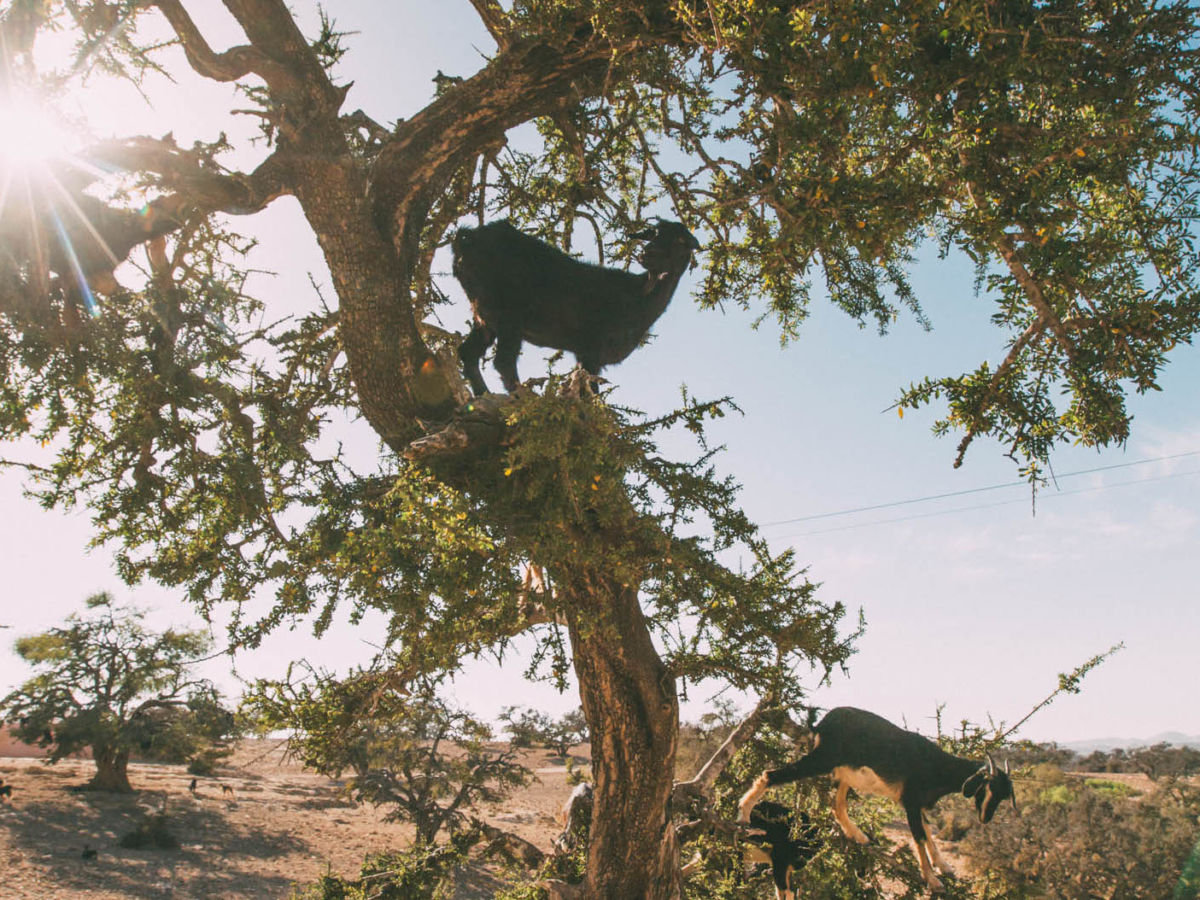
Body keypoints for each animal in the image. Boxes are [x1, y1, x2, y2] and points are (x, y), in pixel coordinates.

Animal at [453, 219, 700, 395]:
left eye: (681, 241)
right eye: (654, 234)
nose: (647, 254)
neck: (638, 297)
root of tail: (467, 241)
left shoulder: (587, 353)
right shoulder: (591, 348)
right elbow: (590, 392)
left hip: (484, 314)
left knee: (468, 352)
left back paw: (483, 394)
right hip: (508, 313)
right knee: (503, 360)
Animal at [737, 707, 1016, 892]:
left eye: (1004, 795)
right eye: (989, 788)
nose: (985, 818)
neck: (935, 764)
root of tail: (822, 725)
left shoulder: (915, 804)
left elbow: (928, 833)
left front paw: (944, 867)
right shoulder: (910, 802)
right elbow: (919, 838)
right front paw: (933, 880)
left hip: (842, 773)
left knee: (837, 805)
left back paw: (859, 836)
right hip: (822, 760)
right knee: (770, 775)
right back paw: (743, 813)